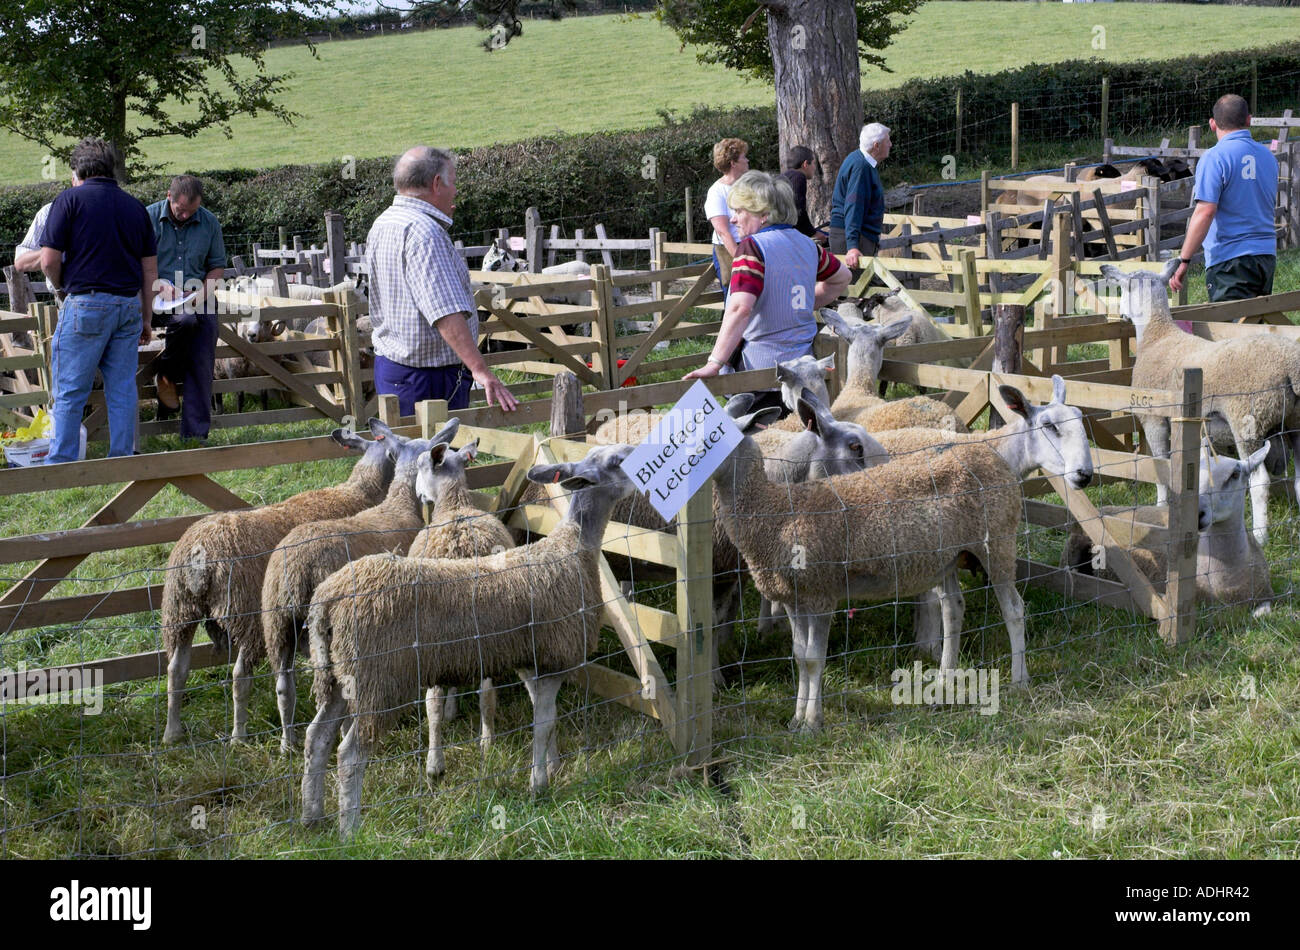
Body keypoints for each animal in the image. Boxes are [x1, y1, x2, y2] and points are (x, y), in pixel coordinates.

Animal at [160, 419, 405, 746]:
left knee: (176, 669)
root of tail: (200, 551)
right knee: (239, 676)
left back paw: (172, 732)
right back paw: (239, 735)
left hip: (180, 609)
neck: (359, 491)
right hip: (246, 613)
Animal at [300, 443, 639, 836]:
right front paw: (538, 785)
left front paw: (551, 766)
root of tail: (328, 598)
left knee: (317, 738)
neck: (572, 546)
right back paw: (350, 831)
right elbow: (543, 723)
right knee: (350, 753)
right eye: (618, 462)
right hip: (378, 678)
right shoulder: (555, 658)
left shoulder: (532, 660)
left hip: (338, 675)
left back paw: (312, 816)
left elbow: (546, 716)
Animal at [708, 406, 1028, 731]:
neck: (775, 510)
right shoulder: (793, 598)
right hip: (948, 557)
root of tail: (990, 454)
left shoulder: (822, 594)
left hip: (997, 543)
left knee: (1014, 609)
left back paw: (1019, 680)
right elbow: (799, 656)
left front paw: (812, 722)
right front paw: (797, 719)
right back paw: (943, 685)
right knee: (953, 609)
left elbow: (813, 659)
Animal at [1102, 260, 1300, 545]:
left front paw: (1161, 507)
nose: (1122, 314)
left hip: (1248, 421)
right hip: (1294, 423)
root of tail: (1290, 367)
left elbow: (1160, 467)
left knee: (1260, 482)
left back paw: (1260, 536)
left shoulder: (1153, 419)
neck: (1156, 335)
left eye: (1124, 286)